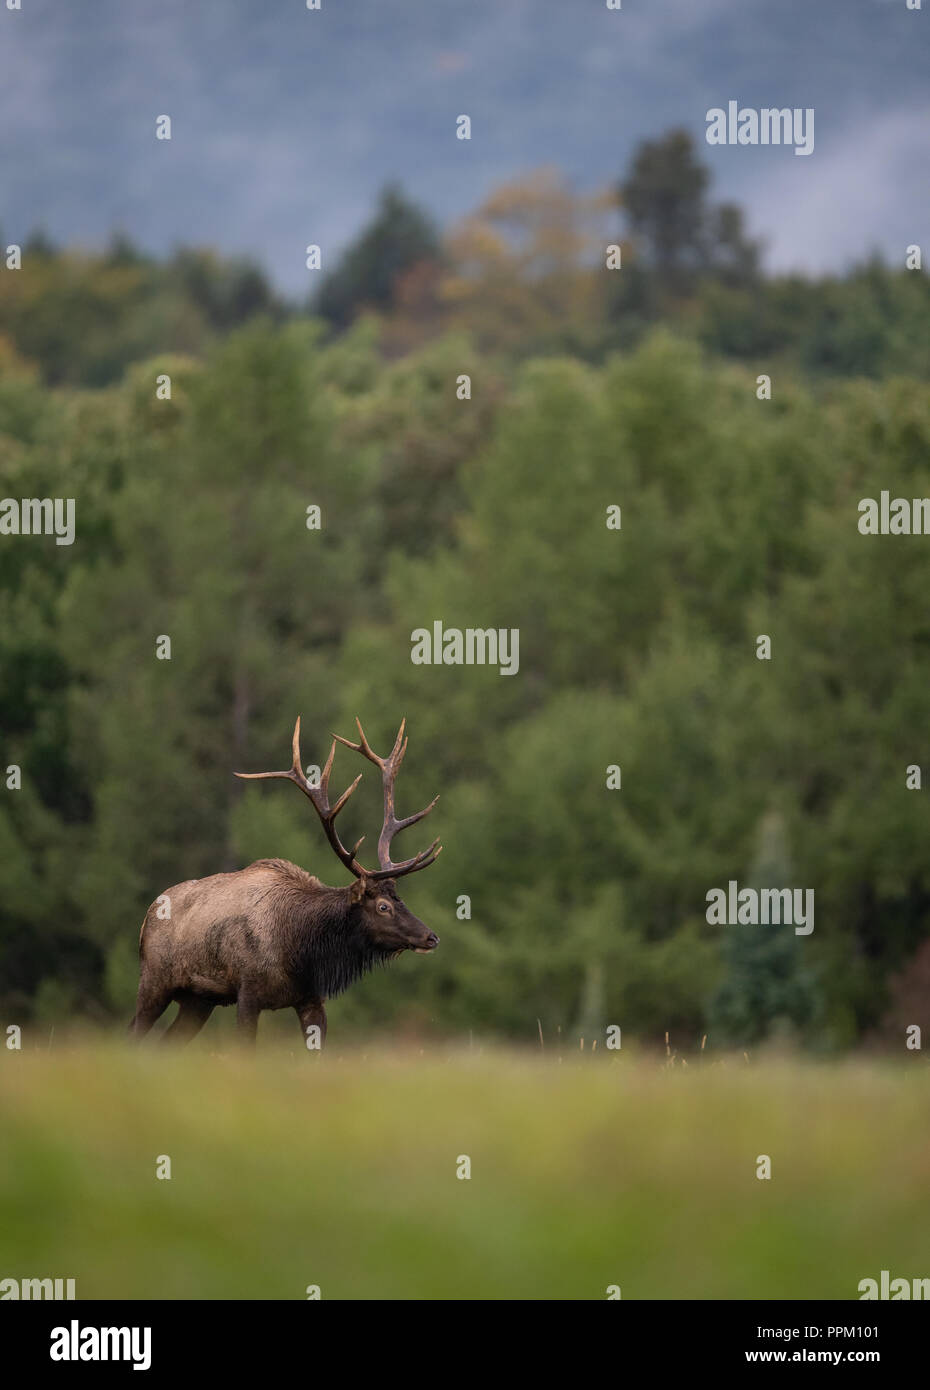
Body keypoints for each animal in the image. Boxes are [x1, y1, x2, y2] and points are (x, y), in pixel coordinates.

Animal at [130, 716, 441, 1047]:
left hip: (198, 999)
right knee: (132, 1033)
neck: (300, 950)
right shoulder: (248, 992)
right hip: (154, 981)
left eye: (400, 899)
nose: (430, 937)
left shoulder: (311, 998)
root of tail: (147, 916)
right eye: (383, 906)